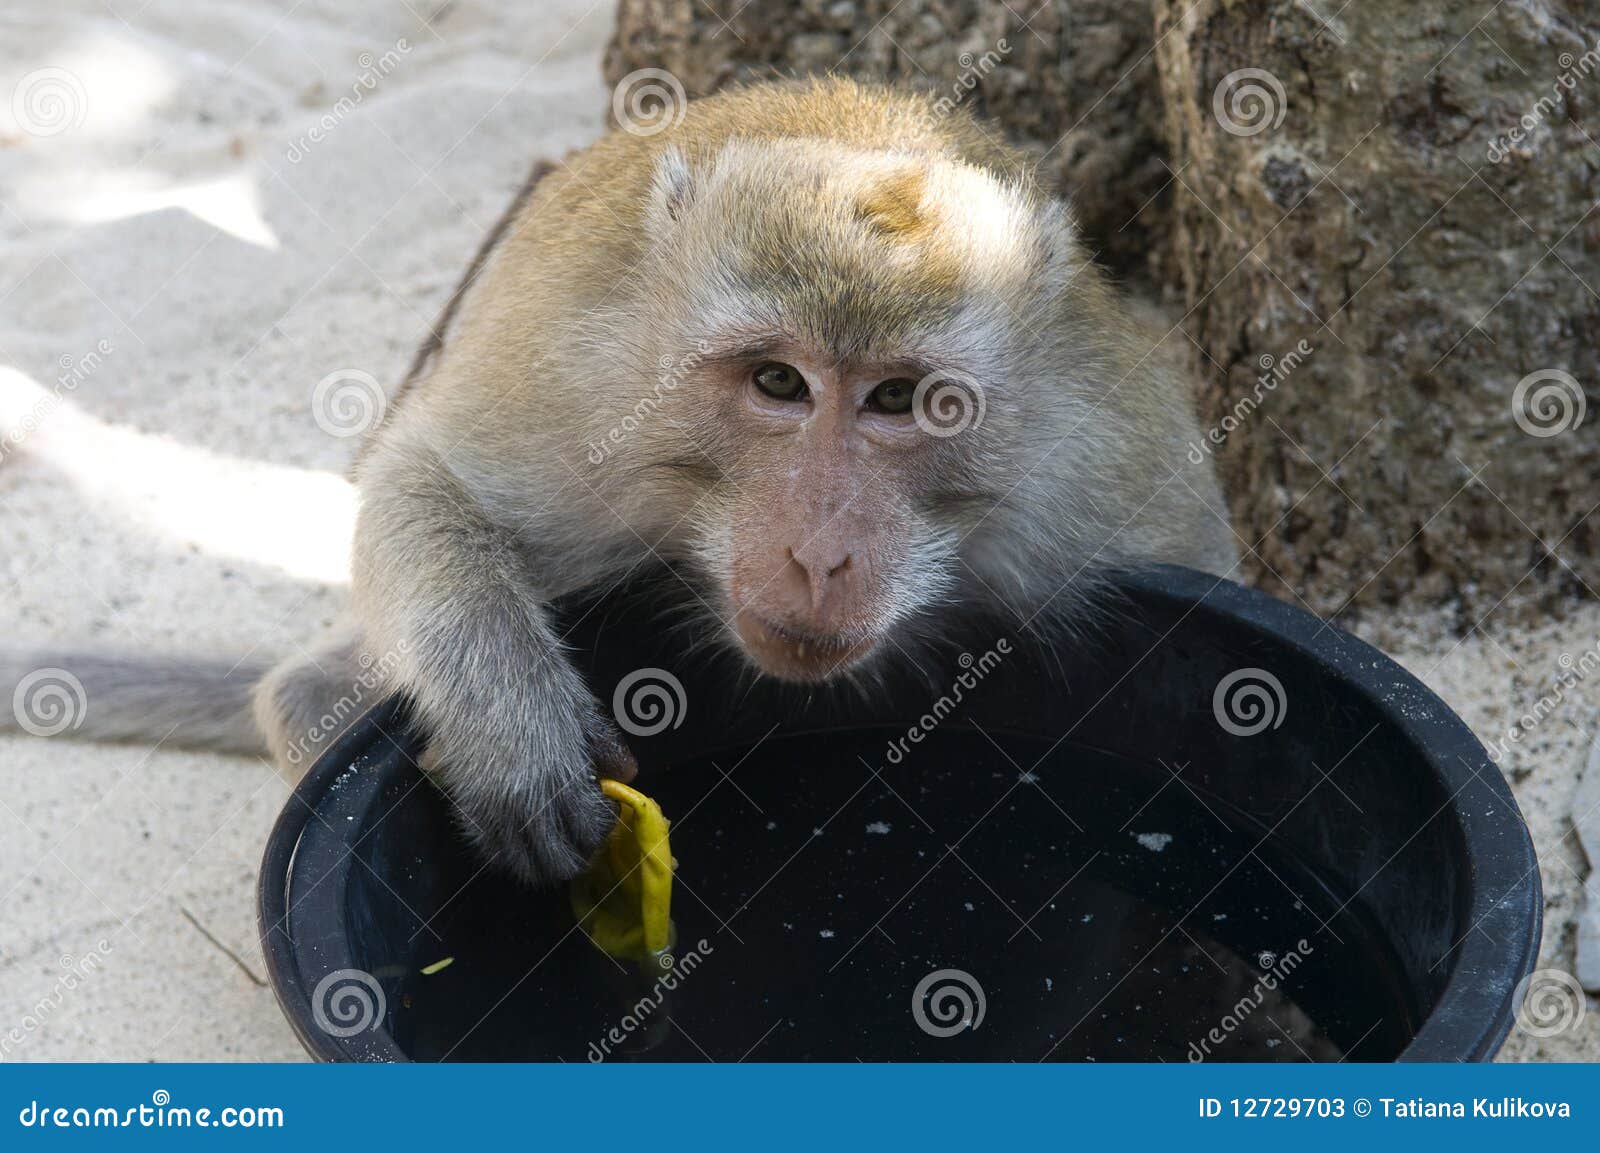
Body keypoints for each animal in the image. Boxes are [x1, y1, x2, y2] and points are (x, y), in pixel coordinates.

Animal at [0, 77, 1236, 886]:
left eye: (900, 399)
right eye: (778, 381)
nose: (819, 553)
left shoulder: (1101, 482)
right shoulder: (583, 393)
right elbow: (423, 483)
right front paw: (516, 732)